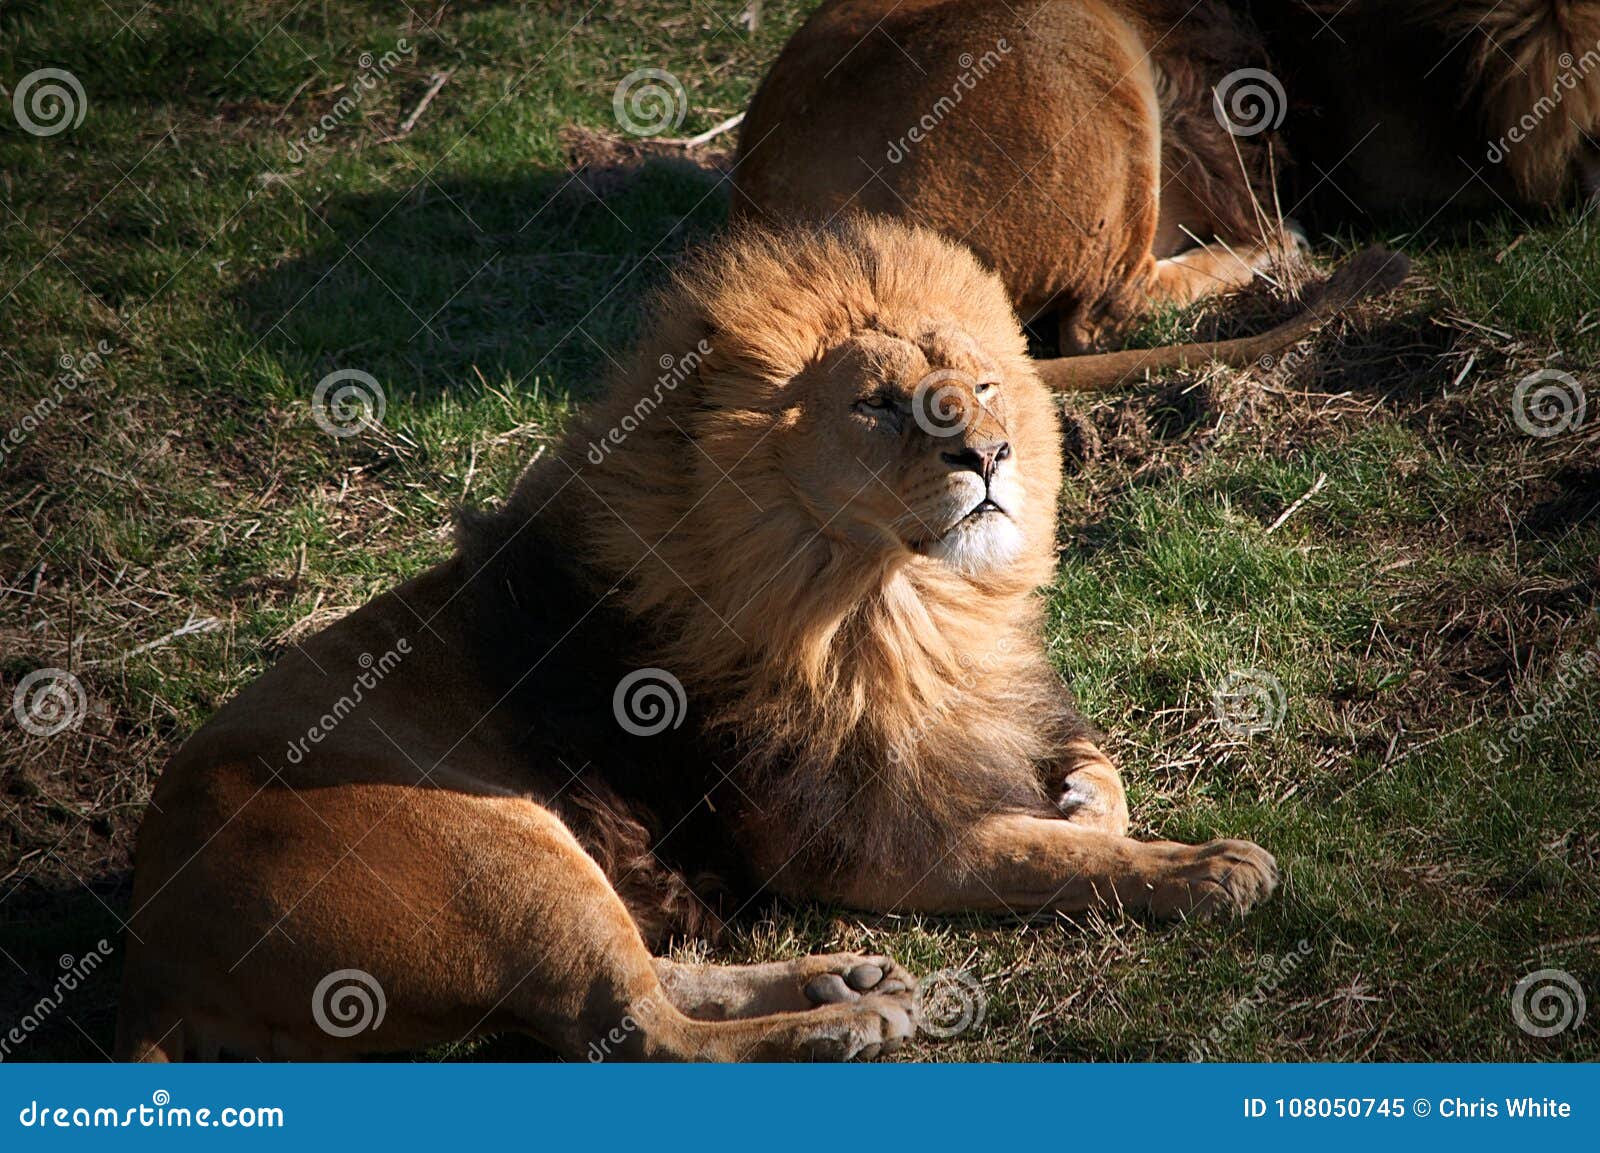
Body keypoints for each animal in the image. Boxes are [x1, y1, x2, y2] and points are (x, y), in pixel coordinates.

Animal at [117, 217, 1280, 1064]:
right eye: (879, 404)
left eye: (985, 385)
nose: (990, 454)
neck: (897, 606)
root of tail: (153, 955)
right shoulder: (860, 841)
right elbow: (1040, 854)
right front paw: (1203, 864)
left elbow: (1086, 781)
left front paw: (1091, 800)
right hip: (499, 849)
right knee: (641, 1032)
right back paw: (842, 1020)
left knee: (631, 986)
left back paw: (840, 977)